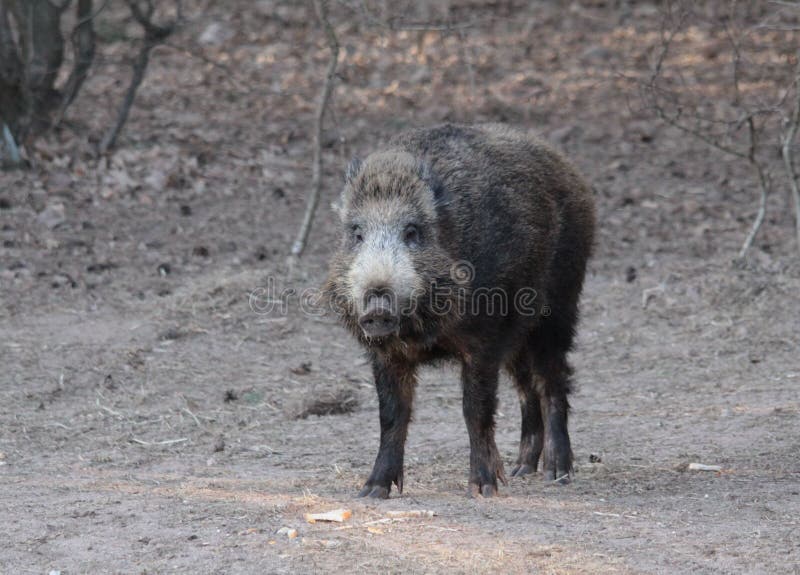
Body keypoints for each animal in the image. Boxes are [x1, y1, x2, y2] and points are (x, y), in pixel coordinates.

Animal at [324, 123, 595, 498]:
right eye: (357, 233)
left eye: (412, 232)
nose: (377, 303)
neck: (422, 331)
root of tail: (569, 170)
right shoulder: (386, 353)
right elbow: (391, 416)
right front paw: (372, 491)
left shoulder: (483, 340)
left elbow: (475, 410)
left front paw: (482, 489)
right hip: (518, 337)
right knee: (525, 389)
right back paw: (522, 470)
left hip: (557, 310)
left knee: (553, 381)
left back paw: (558, 473)